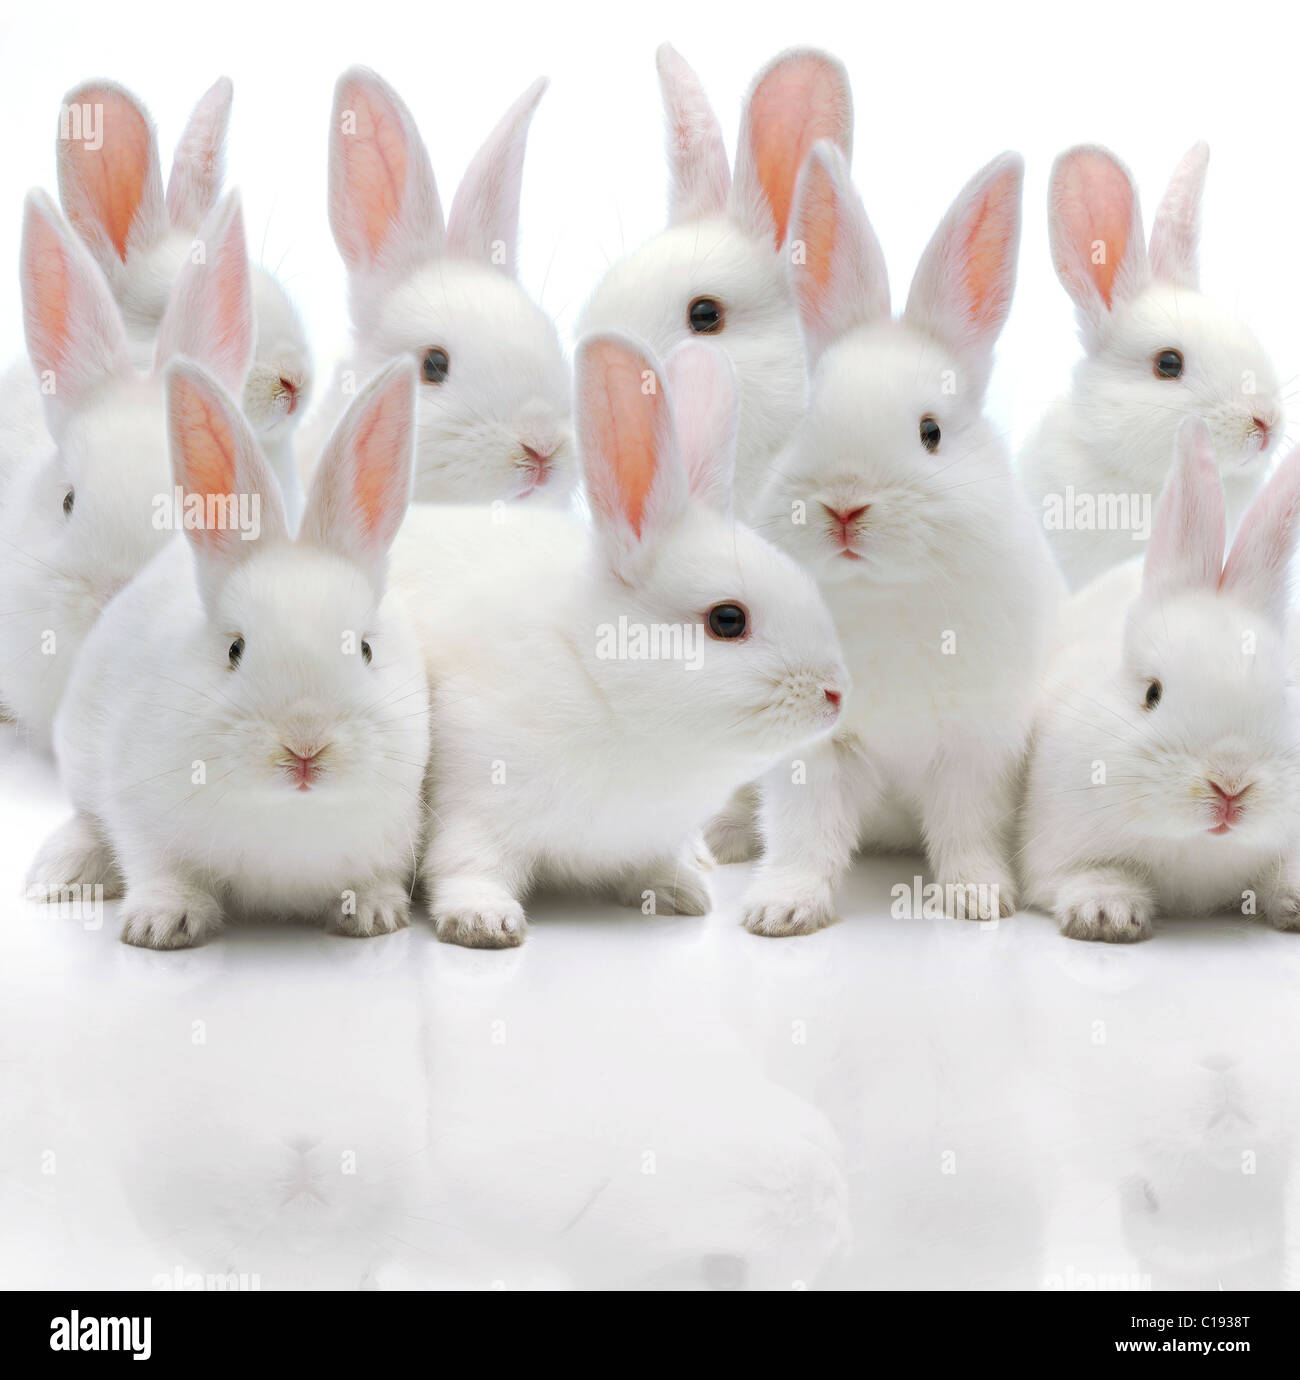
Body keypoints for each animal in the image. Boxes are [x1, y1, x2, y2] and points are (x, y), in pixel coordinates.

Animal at [28, 357, 430, 951]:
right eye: (235, 649)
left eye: (365, 649)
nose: (305, 746)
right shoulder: (141, 816)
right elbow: (159, 868)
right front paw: (160, 924)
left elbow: (374, 878)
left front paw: (375, 915)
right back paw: (59, 875)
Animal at [388, 332, 849, 949]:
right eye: (728, 620)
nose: (836, 694)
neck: (598, 681)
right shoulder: (474, 804)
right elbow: (467, 866)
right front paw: (484, 922)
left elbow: (650, 866)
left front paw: (683, 894)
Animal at [737, 142, 1062, 935]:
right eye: (806, 419)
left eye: (930, 432)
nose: (844, 506)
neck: (884, 593)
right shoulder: (813, 751)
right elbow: (804, 832)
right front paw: (780, 909)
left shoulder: (977, 748)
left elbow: (967, 828)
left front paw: (978, 898)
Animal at [1018, 417, 1300, 943]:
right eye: (1152, 693)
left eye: (1287, 697)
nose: (1230, 786)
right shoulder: (1057, 850)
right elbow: (1090, 873)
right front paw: (1107, 915)